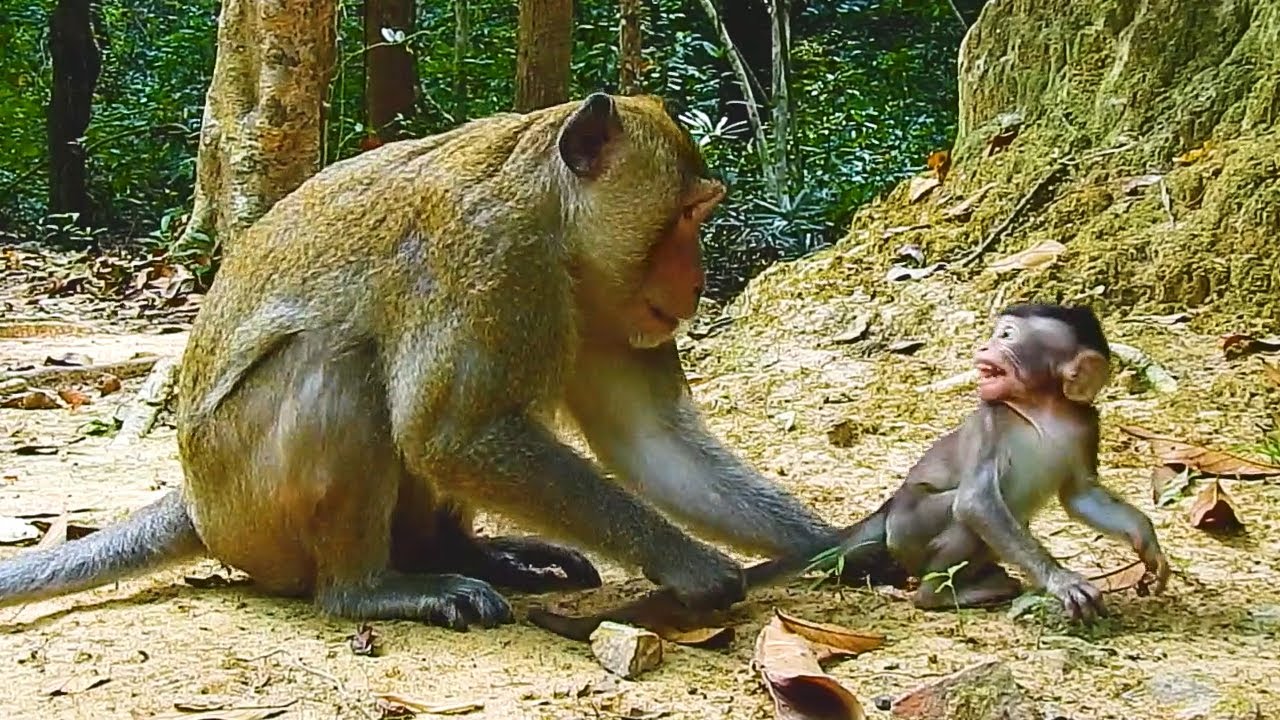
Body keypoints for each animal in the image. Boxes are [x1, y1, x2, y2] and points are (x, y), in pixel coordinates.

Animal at [0, 93, 844, 630]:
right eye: (689, 215)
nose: (696, 281)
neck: (554, 219)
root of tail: (198, 505)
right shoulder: (486, 258)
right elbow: (450, 434)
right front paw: (690, 564)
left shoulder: (611, 307)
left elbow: (651, 441)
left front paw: (832, 543)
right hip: (253, 512)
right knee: (342, 367)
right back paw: (369, 591)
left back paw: (471, 552)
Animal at [531, 303, 1172, 639]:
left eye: (1008, 336)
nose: (985, 351)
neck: (1040, 411)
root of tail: (886, 508)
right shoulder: (994, 422)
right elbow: (976, 502)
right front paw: (1063, 580)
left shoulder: (1084, 425)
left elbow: (1082, 495)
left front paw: (1147, 546)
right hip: (911, 523)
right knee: (961, 515)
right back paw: (941, 595)